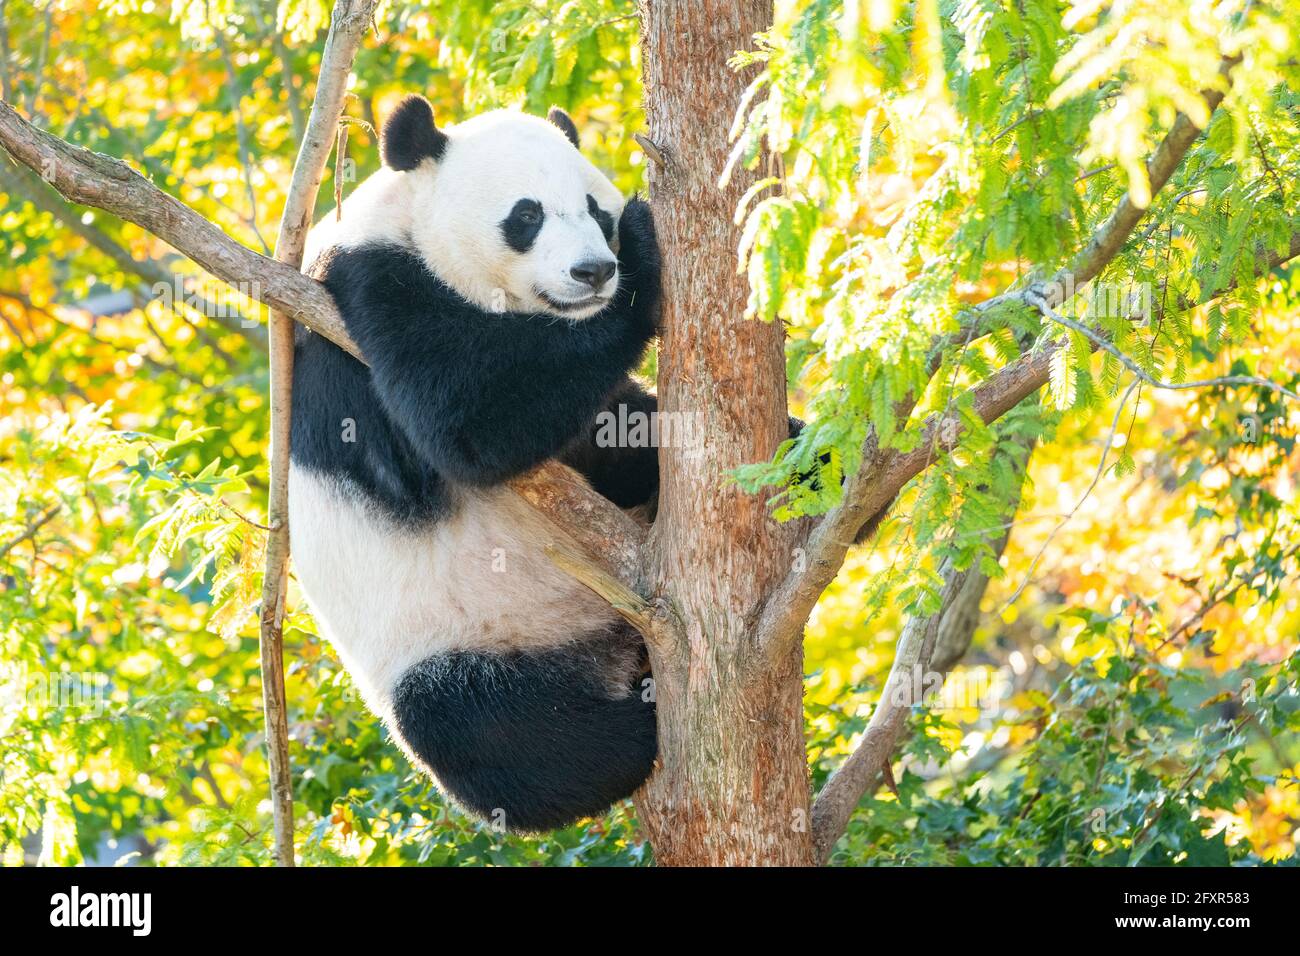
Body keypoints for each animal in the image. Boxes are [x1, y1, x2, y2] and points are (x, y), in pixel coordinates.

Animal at [288, 94, 664, 833]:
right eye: (527, 215)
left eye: (593, 209)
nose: (594, 271)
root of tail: (606, 657)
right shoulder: (365, 291)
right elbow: (470, 417)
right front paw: (645, 243)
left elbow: (608, 433)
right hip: (454, 643)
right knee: (489, 737)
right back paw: (634, 732)